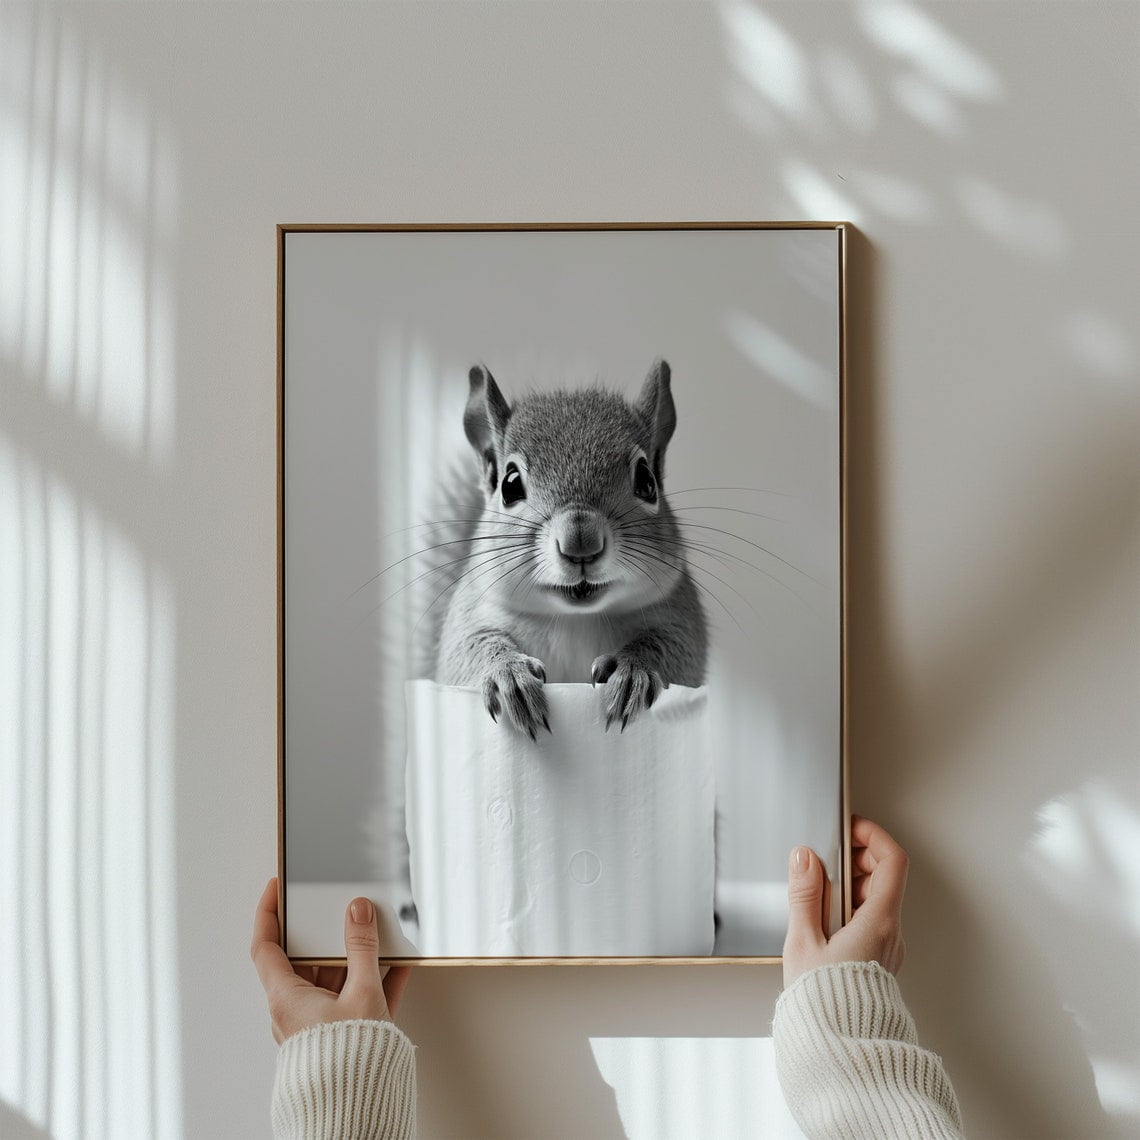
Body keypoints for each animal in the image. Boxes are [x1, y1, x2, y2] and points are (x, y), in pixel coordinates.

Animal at [433, 359, 708, 738]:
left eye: (647, 481)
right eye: (509, 484)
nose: (581, 542)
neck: (574, 618)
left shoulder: (681, 617)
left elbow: (673, 650)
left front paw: (631, 669)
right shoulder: (470, 614)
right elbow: (468, 652)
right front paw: (509, 675)